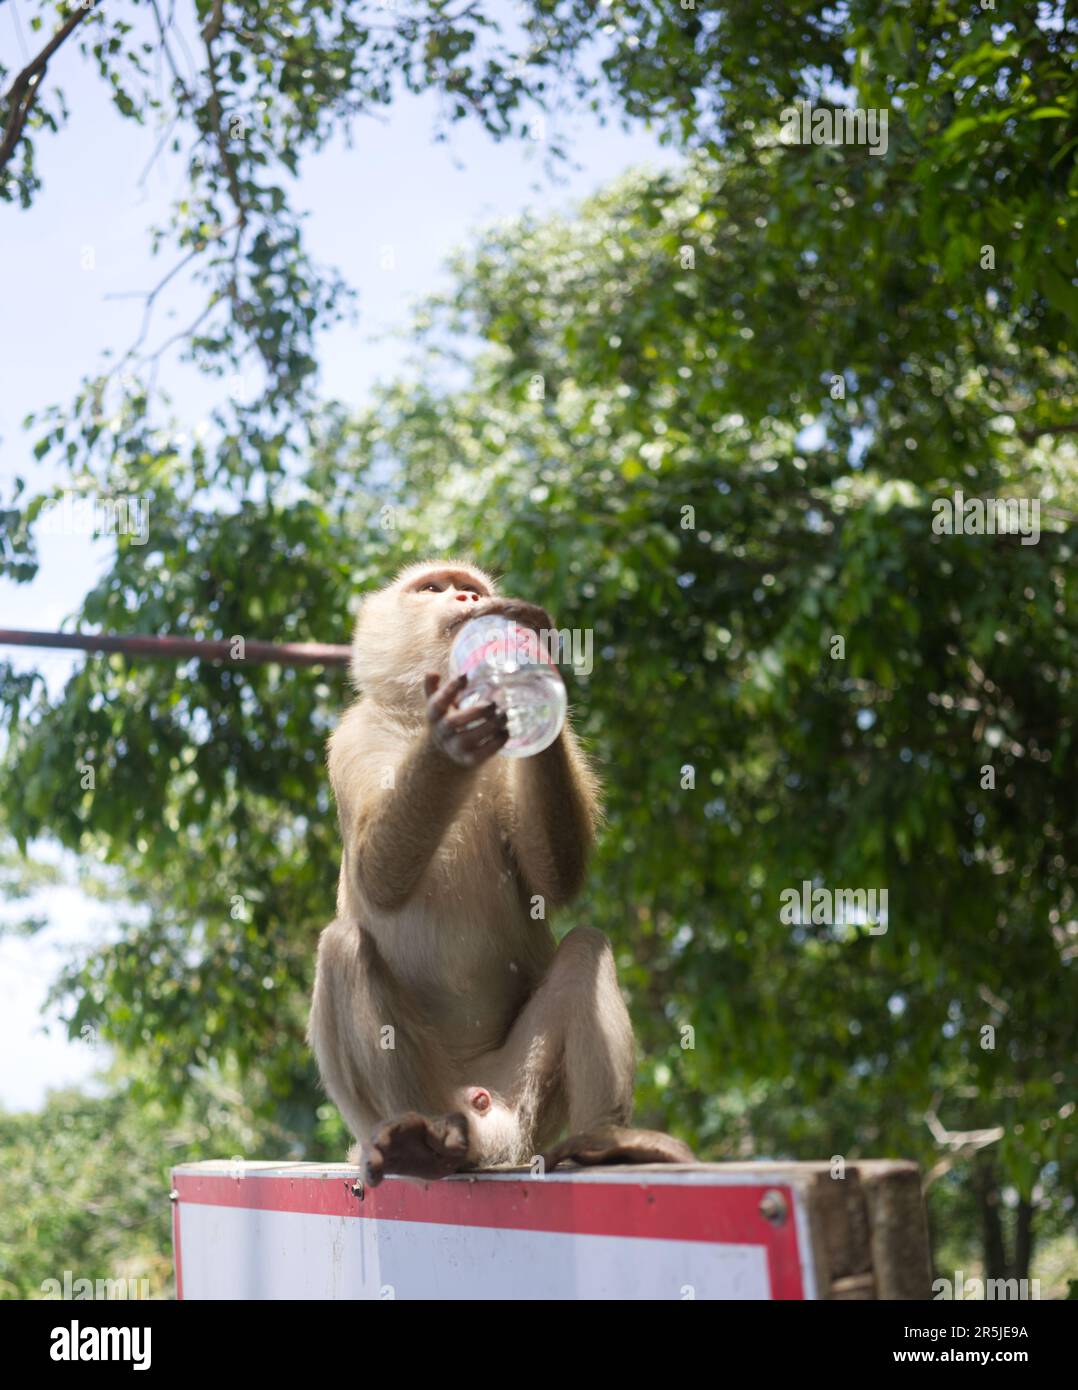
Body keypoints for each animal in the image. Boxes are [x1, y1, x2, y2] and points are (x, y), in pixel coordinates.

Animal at [308, 559, 693, 1185]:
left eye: (471, 589)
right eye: (432, 588)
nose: (467, 599)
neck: (410, 713)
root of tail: (483, 1120)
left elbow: (554, 880)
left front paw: (534, 656)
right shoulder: (353, 736)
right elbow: (376, 877)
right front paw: (448, 739)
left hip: (525, 1093)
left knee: (584, 950)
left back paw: (607, 1141)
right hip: (429, 1092)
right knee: (343, 948)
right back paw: (419, 1145)